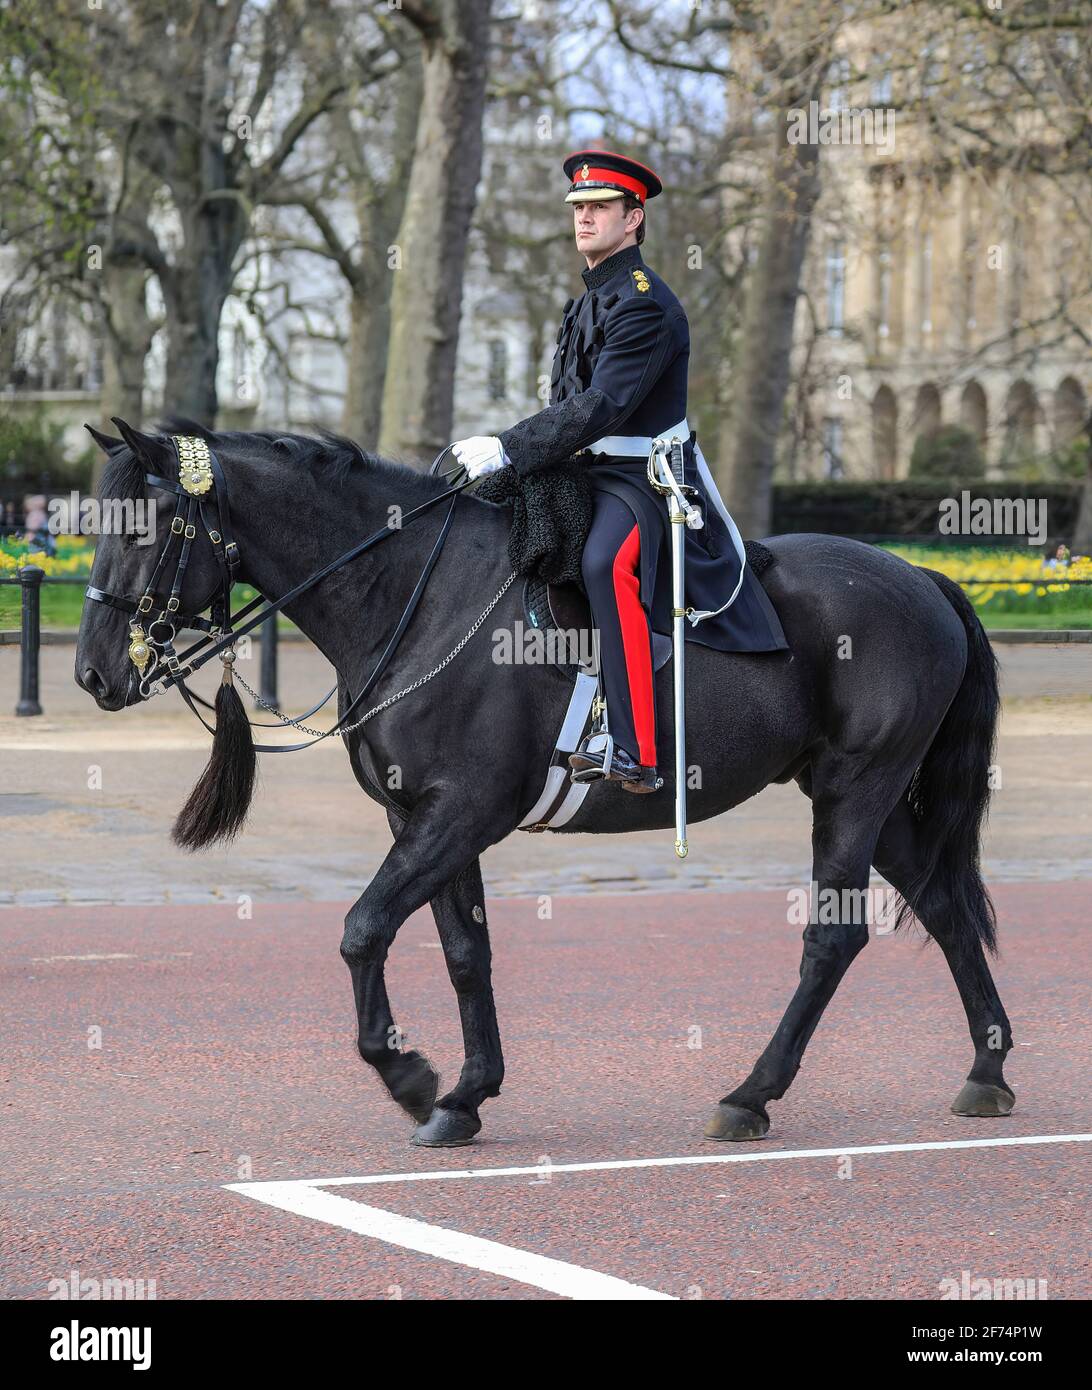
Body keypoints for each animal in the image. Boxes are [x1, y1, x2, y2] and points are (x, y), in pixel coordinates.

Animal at [74, 419, 1015, 1148]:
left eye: (148, 528)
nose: (91, 674)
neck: (414, 595)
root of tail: (919, 576)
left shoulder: (463, 811)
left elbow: (362, 930)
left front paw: (410, 1076)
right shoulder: (422, 818)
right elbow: (464, 951)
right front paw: (465, 1095)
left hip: (858, 789)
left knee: (833, 936)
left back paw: (752, 1092)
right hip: (867, 798)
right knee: (942, 907)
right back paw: (988, 1067)